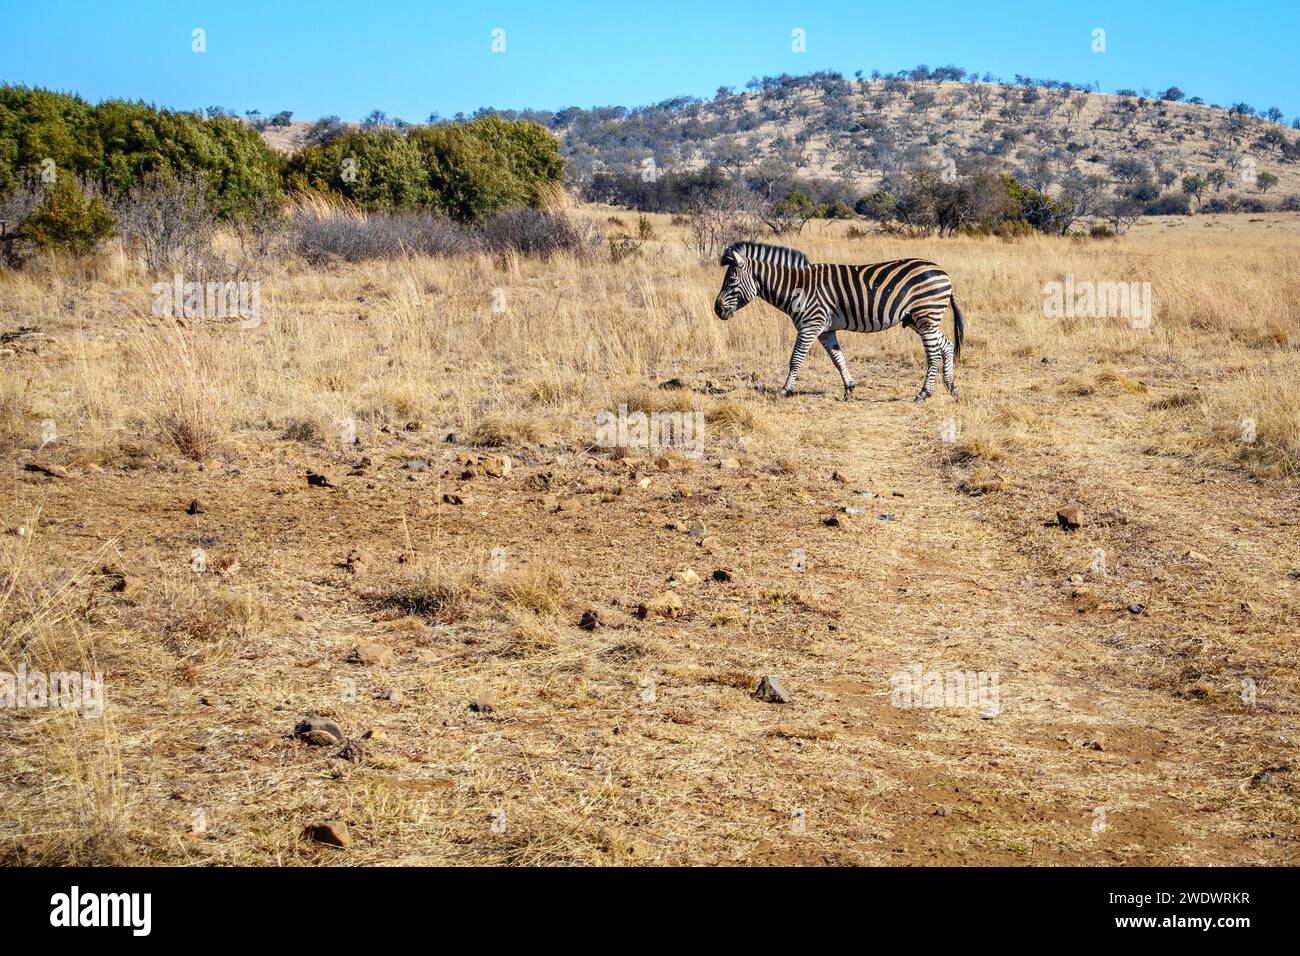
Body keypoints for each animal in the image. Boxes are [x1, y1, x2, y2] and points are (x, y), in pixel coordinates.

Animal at [712, 243, 967, 403]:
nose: (717, 309)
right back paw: (952, 387)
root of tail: (943, 272)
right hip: (916, 318)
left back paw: (924, 393)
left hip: (926, 315)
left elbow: (795, 360)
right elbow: (838, 360)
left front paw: (784, 390)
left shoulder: (810, 325)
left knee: (933, 354)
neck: (797, 287)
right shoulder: (826, 330)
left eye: (731, 280)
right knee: (946, 345)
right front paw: (849, 391)